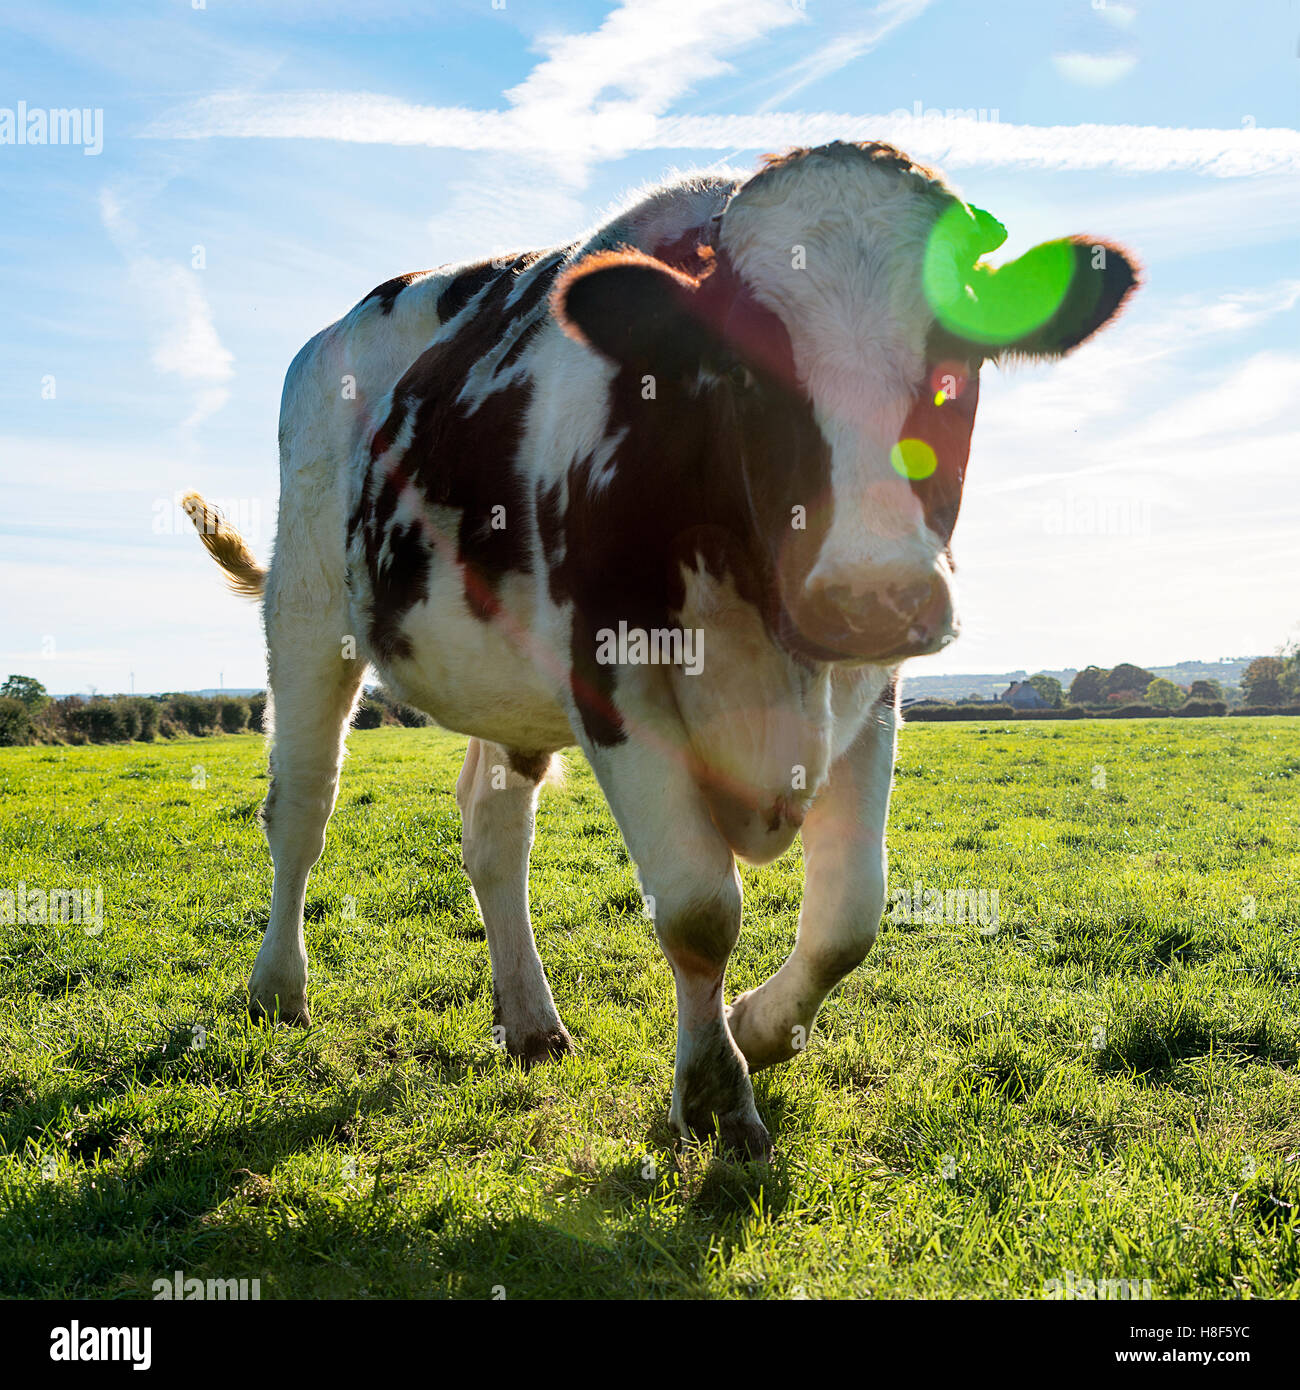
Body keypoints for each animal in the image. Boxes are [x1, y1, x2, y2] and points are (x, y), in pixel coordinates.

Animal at [186, 140, 1137, 1157]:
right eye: (743, 374)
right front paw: (715, 1095)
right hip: (306, 607)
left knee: (492, 834)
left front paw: (761, 1029)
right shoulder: (613, 678)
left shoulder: (868, 688)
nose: (871, 590)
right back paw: (278, 989)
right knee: (302, 807)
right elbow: (698, 910)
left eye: (960, 359)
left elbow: (850, 915)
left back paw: (530, 1020)